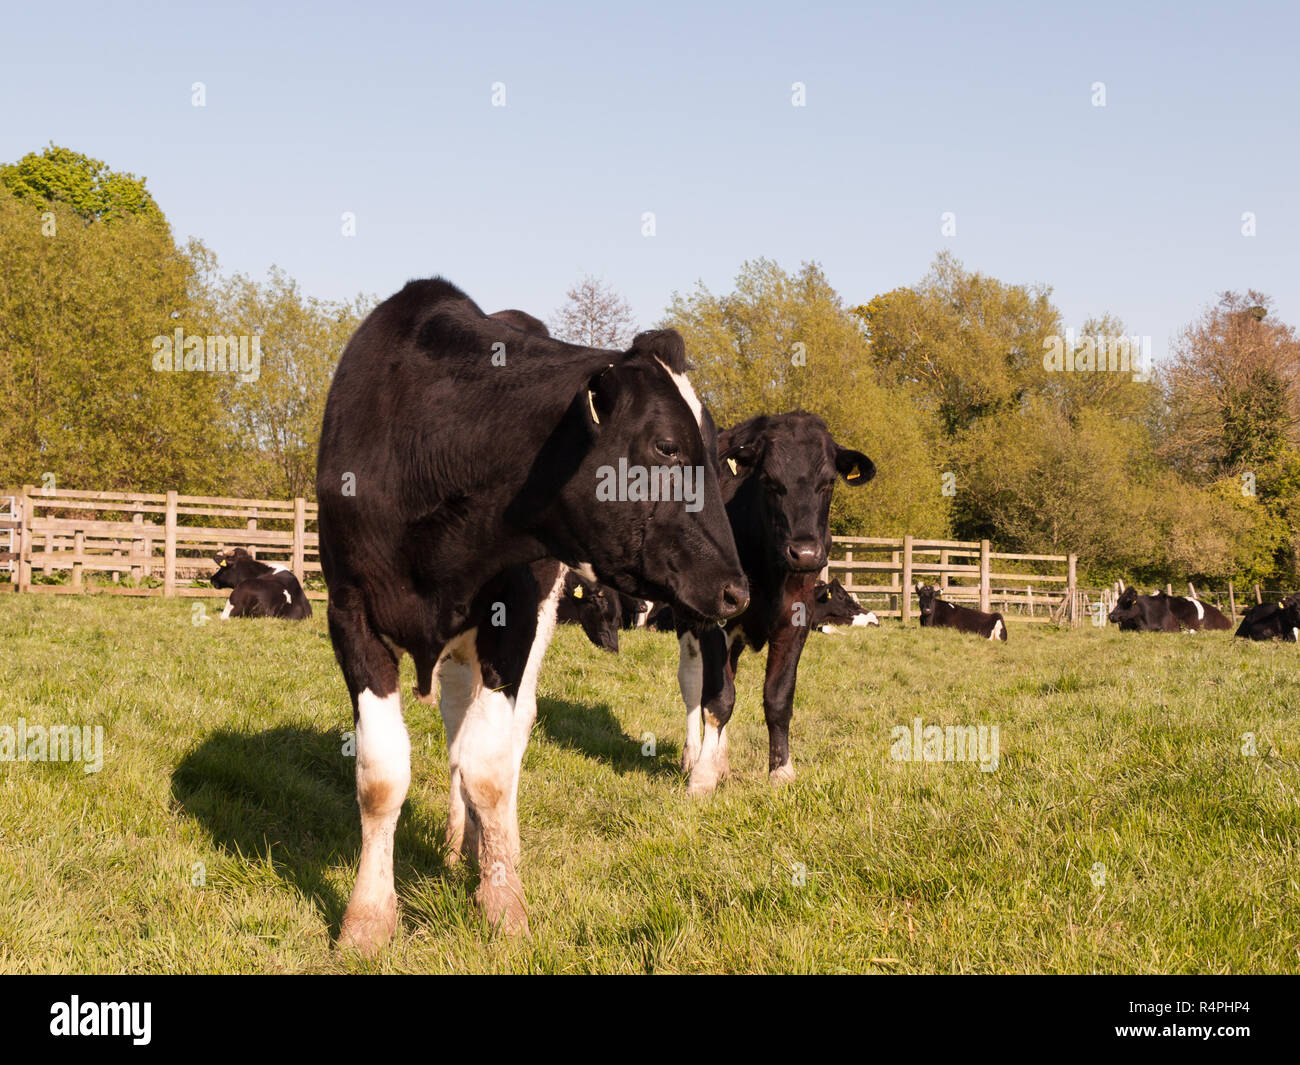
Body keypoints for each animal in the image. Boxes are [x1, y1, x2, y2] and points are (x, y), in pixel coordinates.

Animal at [316, 277, 747, 950]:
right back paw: (457, 841)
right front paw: (367, 921)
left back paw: (493, 849)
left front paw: (502, 904)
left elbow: (491, 768)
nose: (736, 590)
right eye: (667, 447)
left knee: (507, 734)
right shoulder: (350, 615)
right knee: (456, 724)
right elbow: (382, 775)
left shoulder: (514, 616)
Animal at [673, 411, 874, 796]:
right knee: (692, 683)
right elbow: (718, 700)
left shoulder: (798, 618)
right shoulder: (716, 618)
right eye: (768, 481)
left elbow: (778, 697)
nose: (806, 553)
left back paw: (721, 760)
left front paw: (781, 771)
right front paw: (702, 777)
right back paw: (695, 756)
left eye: (829, 482)